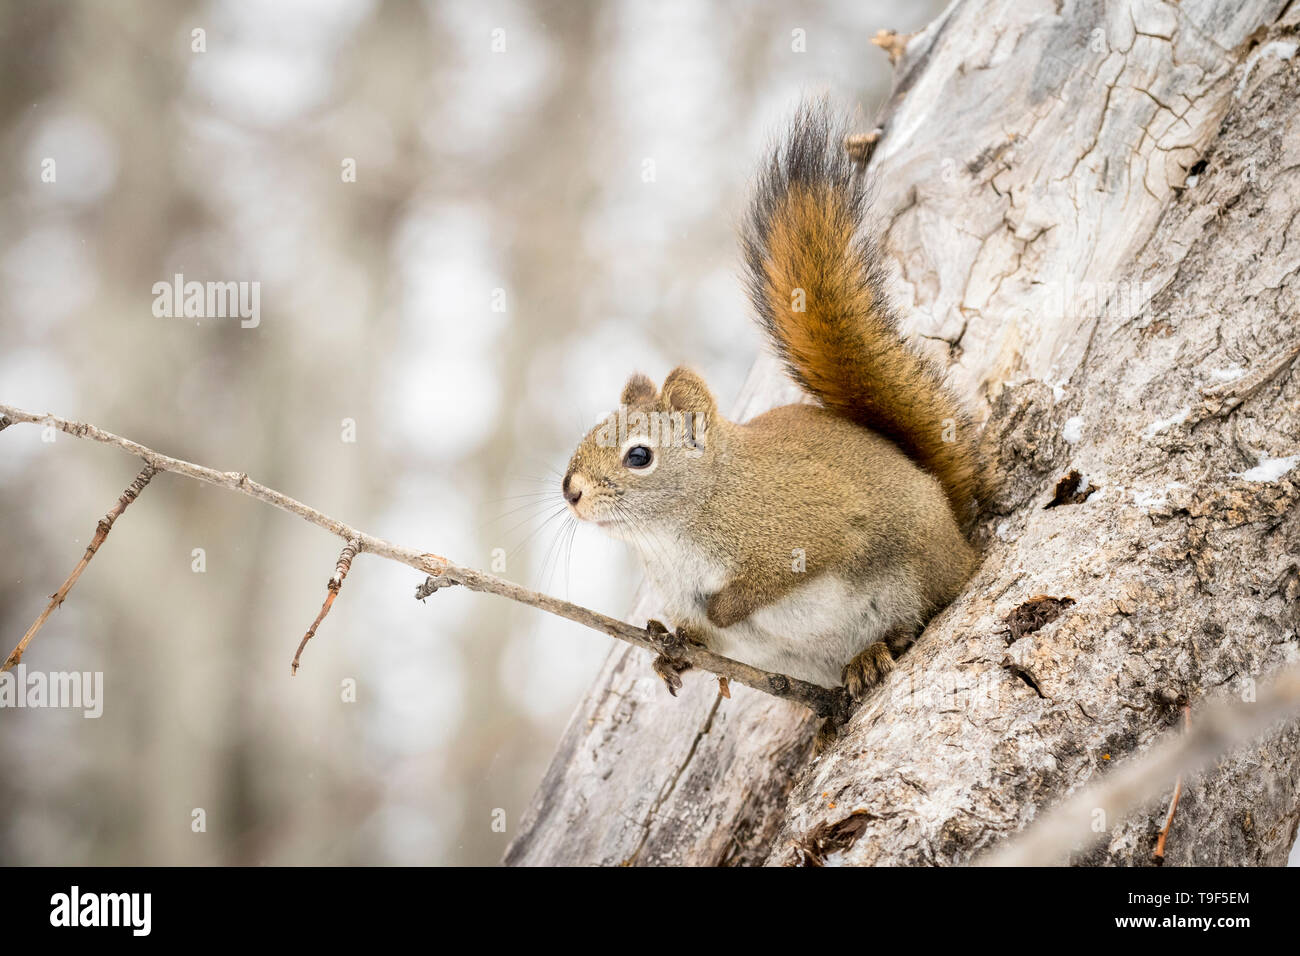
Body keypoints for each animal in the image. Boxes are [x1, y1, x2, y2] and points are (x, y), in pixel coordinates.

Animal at [562, 101, 981, 704]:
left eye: (638, 456)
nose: (570, 492)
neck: (677, 530)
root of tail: (959, 541)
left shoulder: (811, 521)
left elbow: (784, 569)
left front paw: (725, 604)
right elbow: (702, 637)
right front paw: (671, 650)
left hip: (913, 570)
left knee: (916, 615)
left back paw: (873, 653)